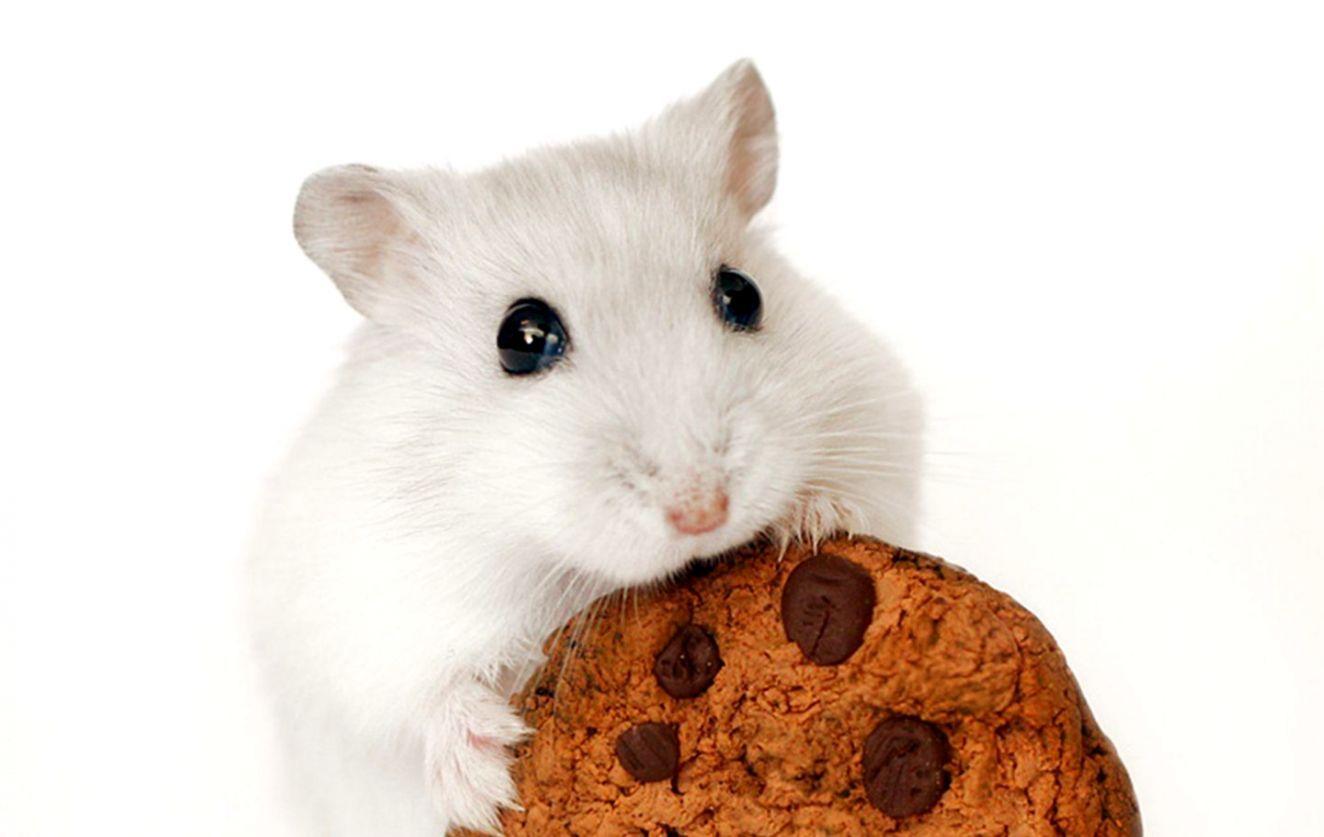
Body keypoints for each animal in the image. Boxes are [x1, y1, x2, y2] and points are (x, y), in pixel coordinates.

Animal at [248, 60, 921, 836]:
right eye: (522, 338)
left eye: (744, 294)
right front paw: (490, 783)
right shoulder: (358, 615)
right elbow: (422, 696)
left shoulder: (880, 419)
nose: (704, 514)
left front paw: (812, 517)